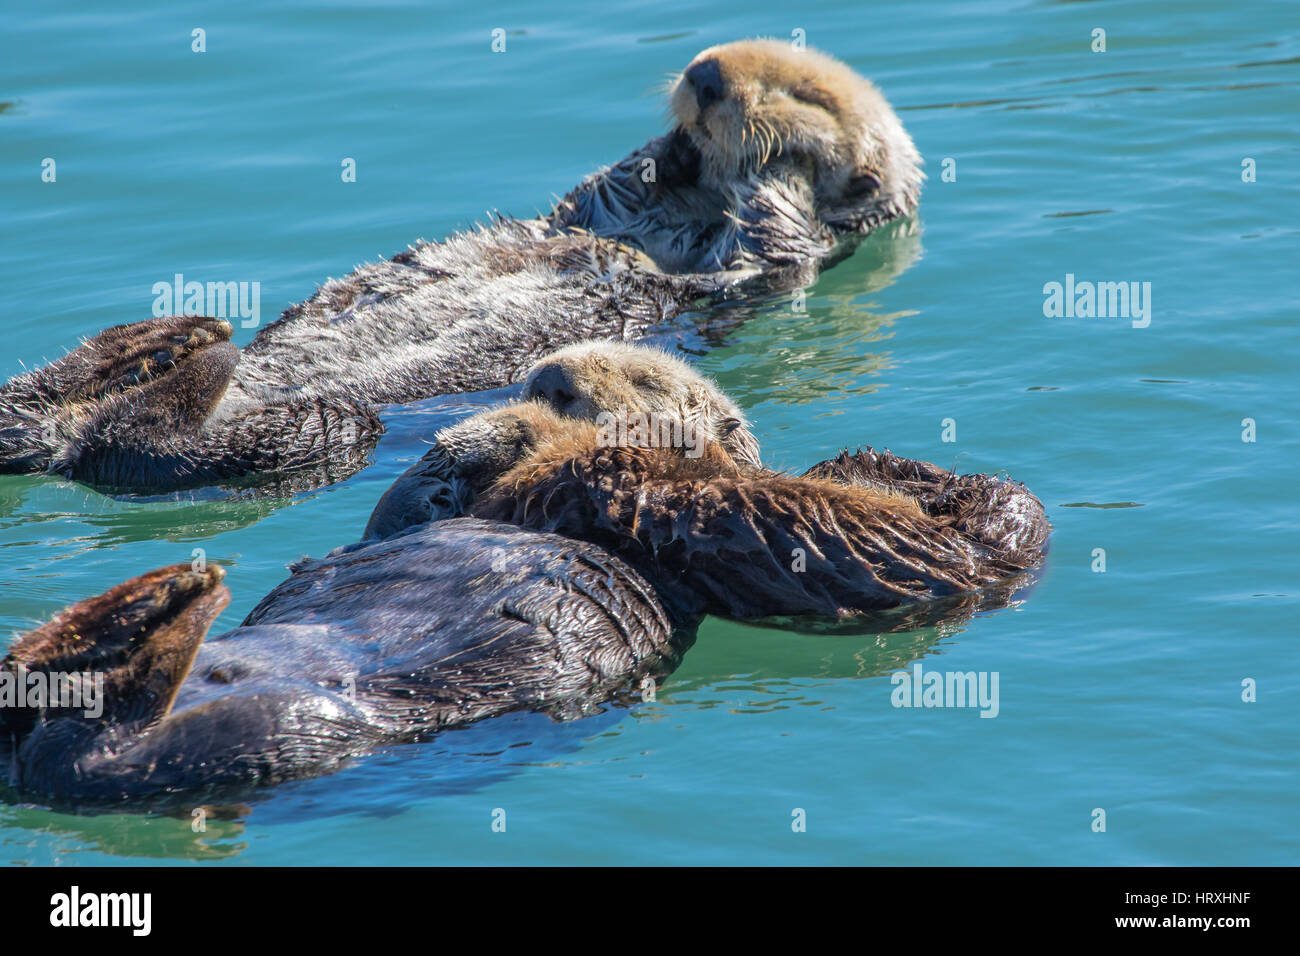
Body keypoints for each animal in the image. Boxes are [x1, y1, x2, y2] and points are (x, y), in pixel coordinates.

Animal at [0, 40, 921, 495]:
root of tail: (64, 441)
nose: (705, 77)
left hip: (315, 434)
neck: (680, 220)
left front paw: (779, 166)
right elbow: (605, 188)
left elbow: (776, 225)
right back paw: (161, 339)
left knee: (145, 447)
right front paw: (664, 147)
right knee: (39, 409)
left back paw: (186, 354)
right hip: (59, 416)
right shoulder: (604, 210)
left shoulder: (767, 263)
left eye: (806, 96)